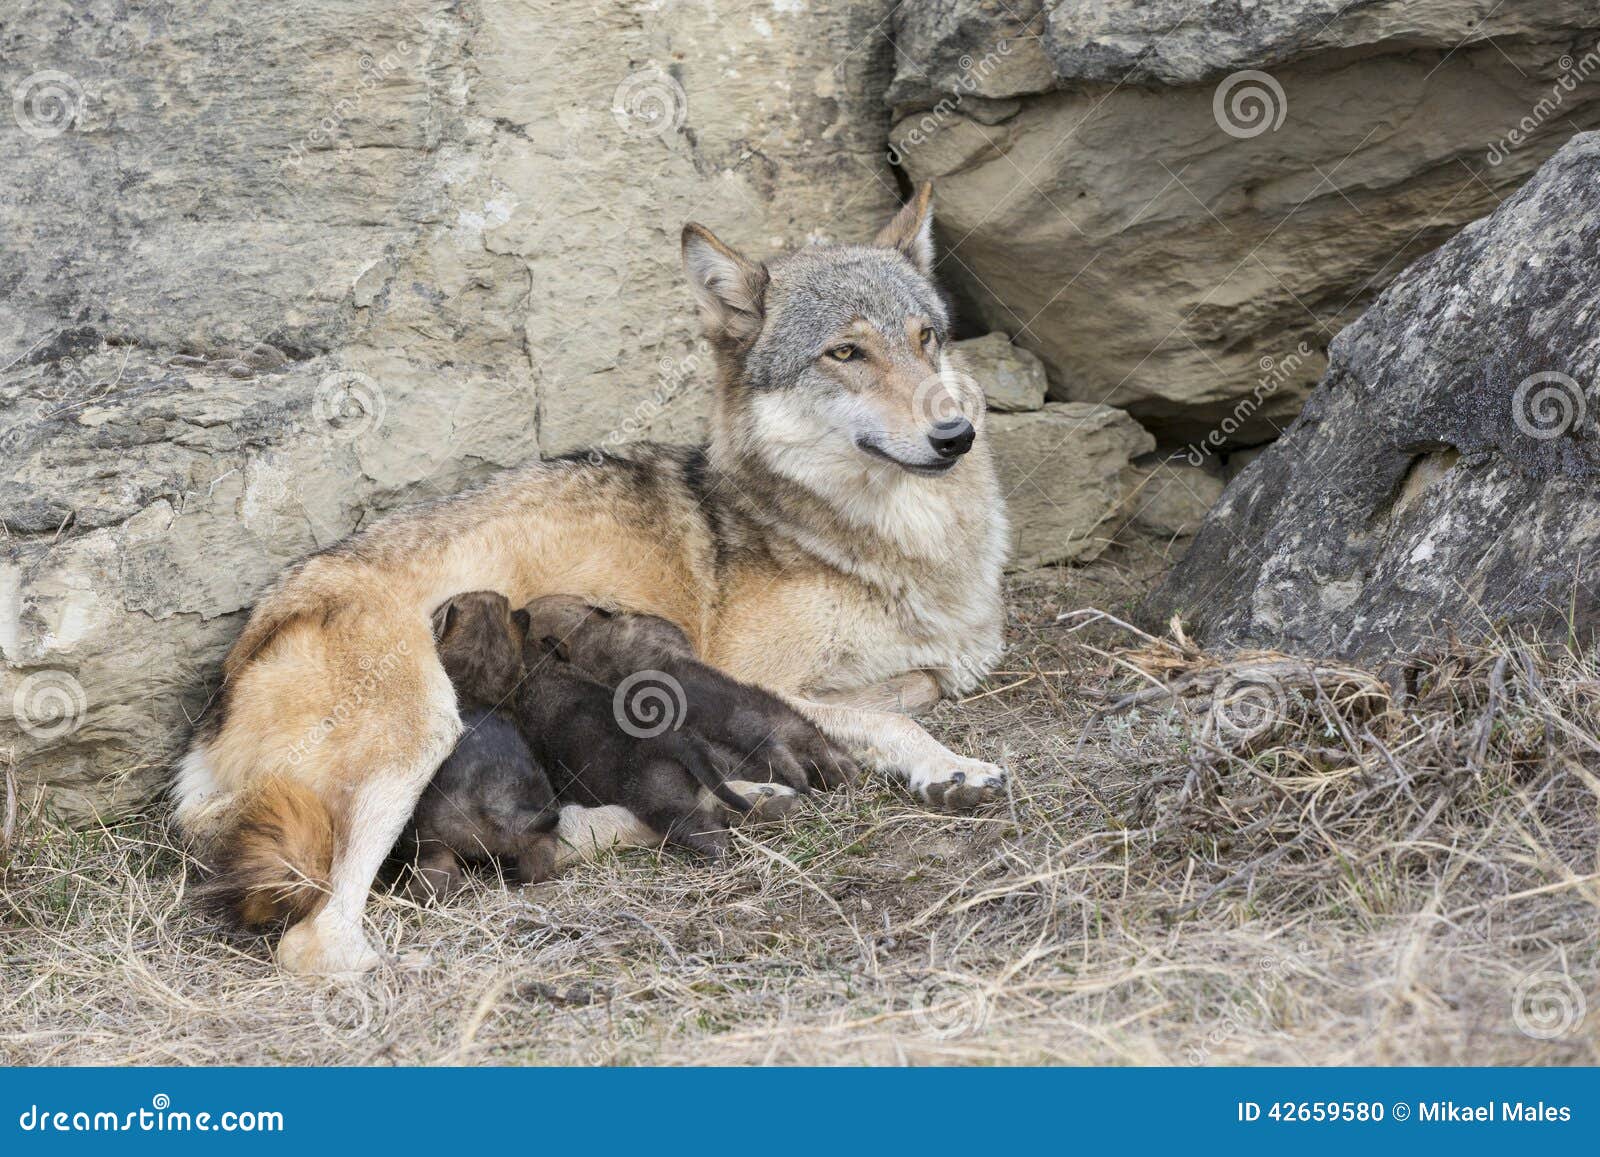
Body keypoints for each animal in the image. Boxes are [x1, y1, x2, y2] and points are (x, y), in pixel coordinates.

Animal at [174, 184, 1010, 974]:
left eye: (926, 338)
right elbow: (890, 720)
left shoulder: (930, 666)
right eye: (845, 353)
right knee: (317, 936)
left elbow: (911, 690)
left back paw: (739, 802)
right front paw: (953, 766)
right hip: (419, 730)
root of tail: (226, 686)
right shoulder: (755, 673)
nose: (955, 434)